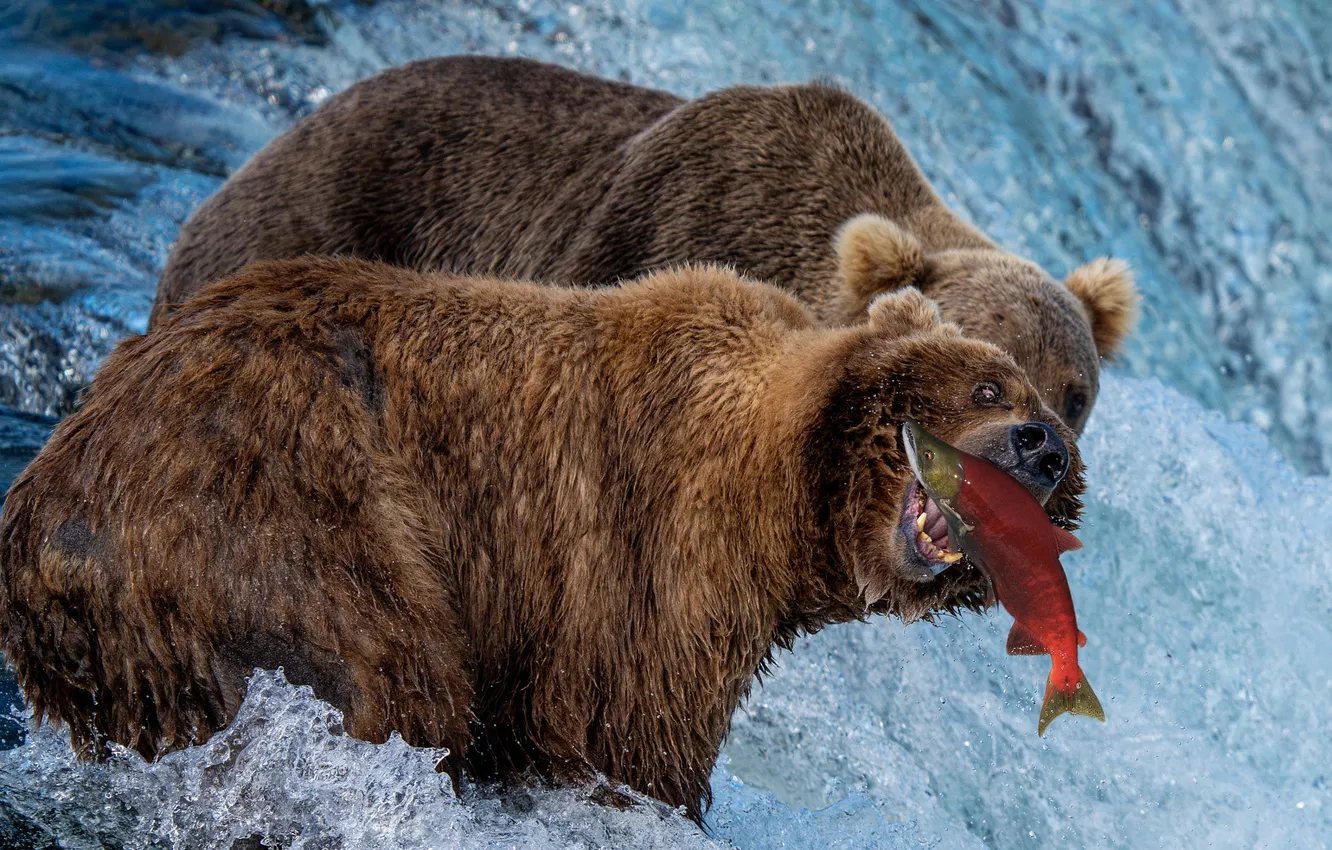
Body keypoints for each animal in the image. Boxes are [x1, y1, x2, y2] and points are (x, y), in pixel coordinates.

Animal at [2, 257, 1083, 821]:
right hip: (287, 518)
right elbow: (632, 746)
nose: (1046, 449)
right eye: (990, 386)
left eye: (1050, 410)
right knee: (393, 682)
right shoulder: (644, 569)